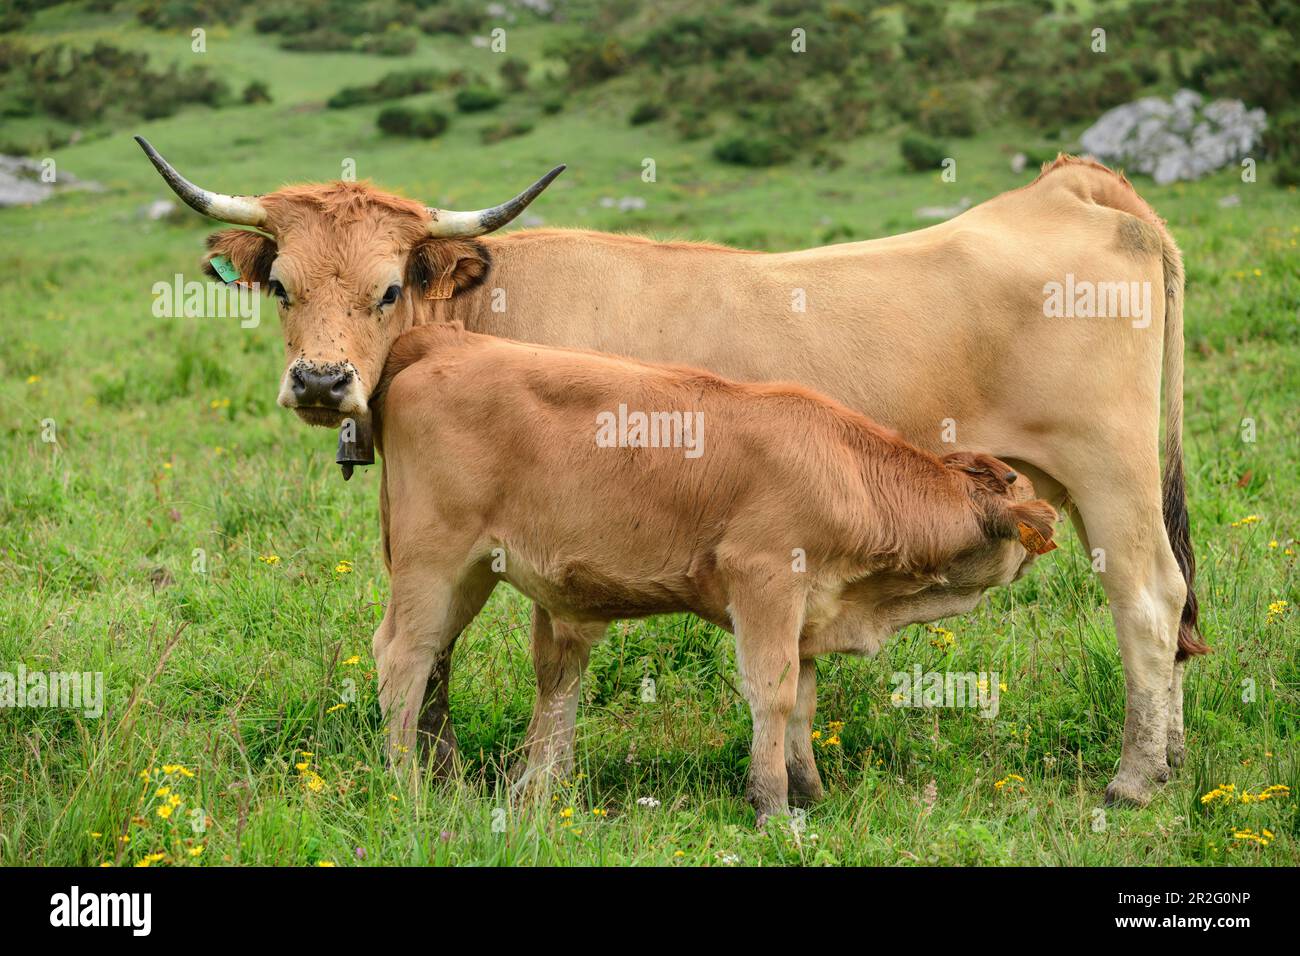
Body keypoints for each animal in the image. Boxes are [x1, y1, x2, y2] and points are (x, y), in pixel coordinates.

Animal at [368, 321, 1059, 822]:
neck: (851, 474)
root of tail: (446, 340)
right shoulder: (765, 580)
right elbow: (772, 694)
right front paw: (772, 808)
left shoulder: (809, 610)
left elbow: (803, 703)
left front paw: (811, 795)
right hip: (434, 558)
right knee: (403, 656)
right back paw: (408, 790)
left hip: (474, 571)